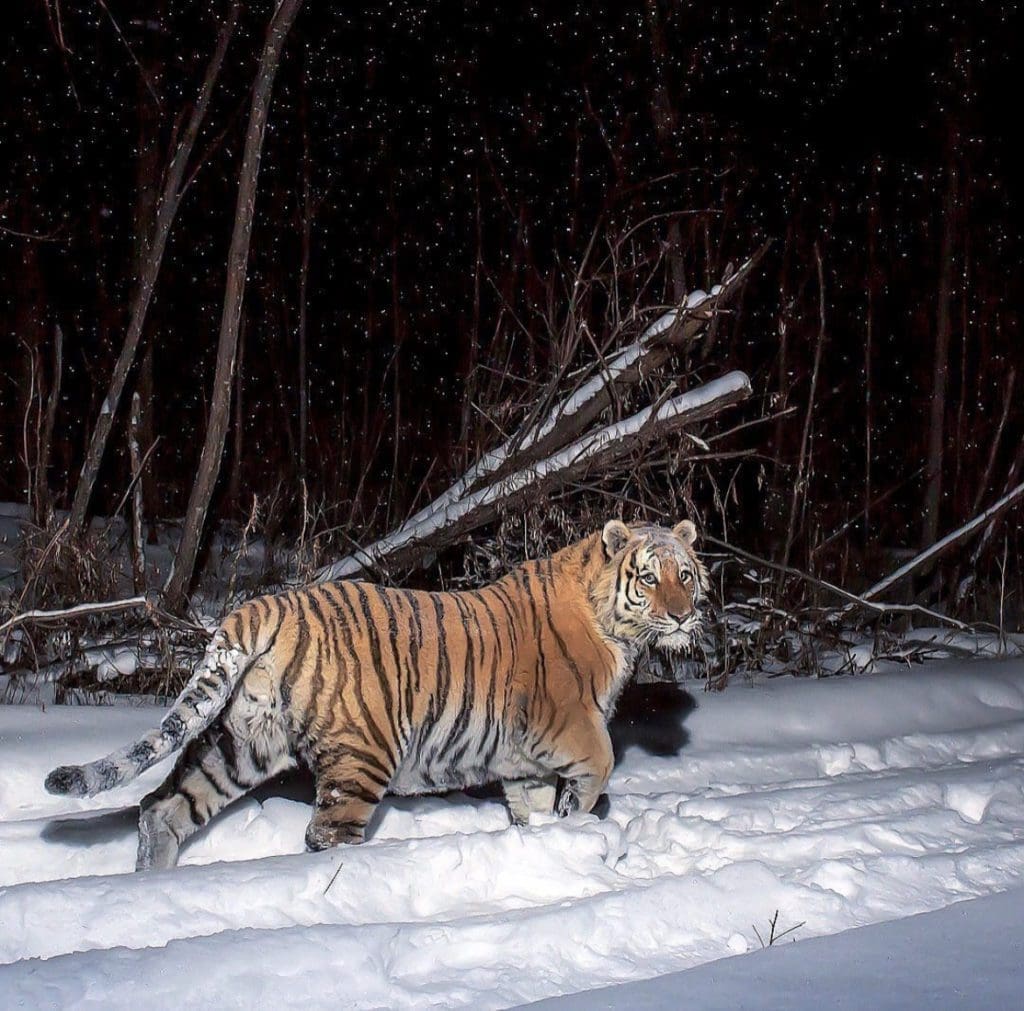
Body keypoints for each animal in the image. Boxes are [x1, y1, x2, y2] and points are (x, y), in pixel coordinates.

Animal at [45, 518, 709, 871]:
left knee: (162, 807)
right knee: (326, 836)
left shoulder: (526, 761)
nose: (683, 615)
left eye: (687, 574)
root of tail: (264, 604)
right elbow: (602, 761)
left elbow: (532, 804)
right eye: (649, 578)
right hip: (363, 754)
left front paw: (546, 836)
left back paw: (151, 883)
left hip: (241, 743)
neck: (617, 630)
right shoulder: (567, 724)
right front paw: (577, 821)